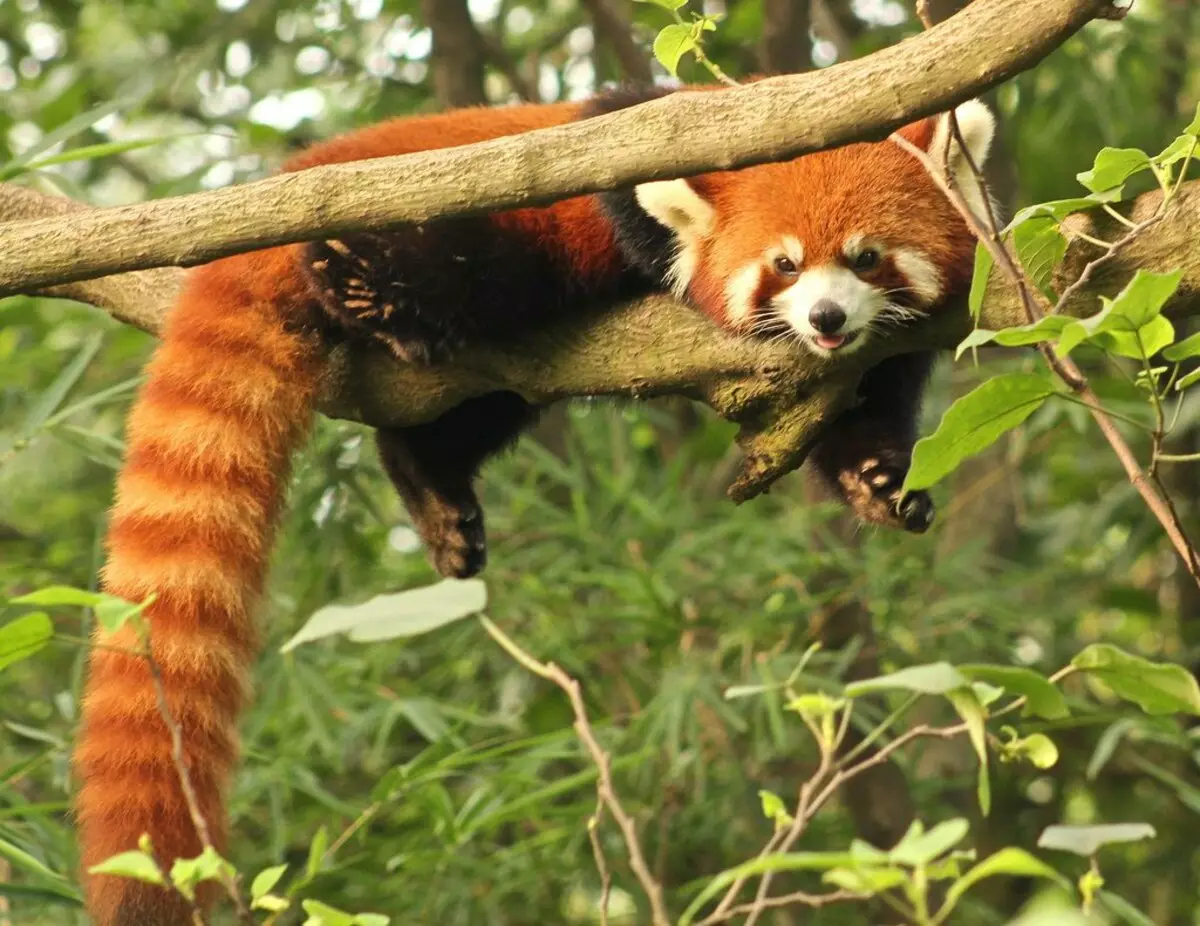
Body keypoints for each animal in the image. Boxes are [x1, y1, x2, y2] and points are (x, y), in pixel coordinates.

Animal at [72, 88, 993, 926]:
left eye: (866, 257)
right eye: (785, 266)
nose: (827, 317)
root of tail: (299, 177)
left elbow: (859, 411)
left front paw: (877, 479)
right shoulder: (638, 139)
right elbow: (621, 161)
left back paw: (432, 485)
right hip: (471, 221)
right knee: (484, 264)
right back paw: (364, 283)